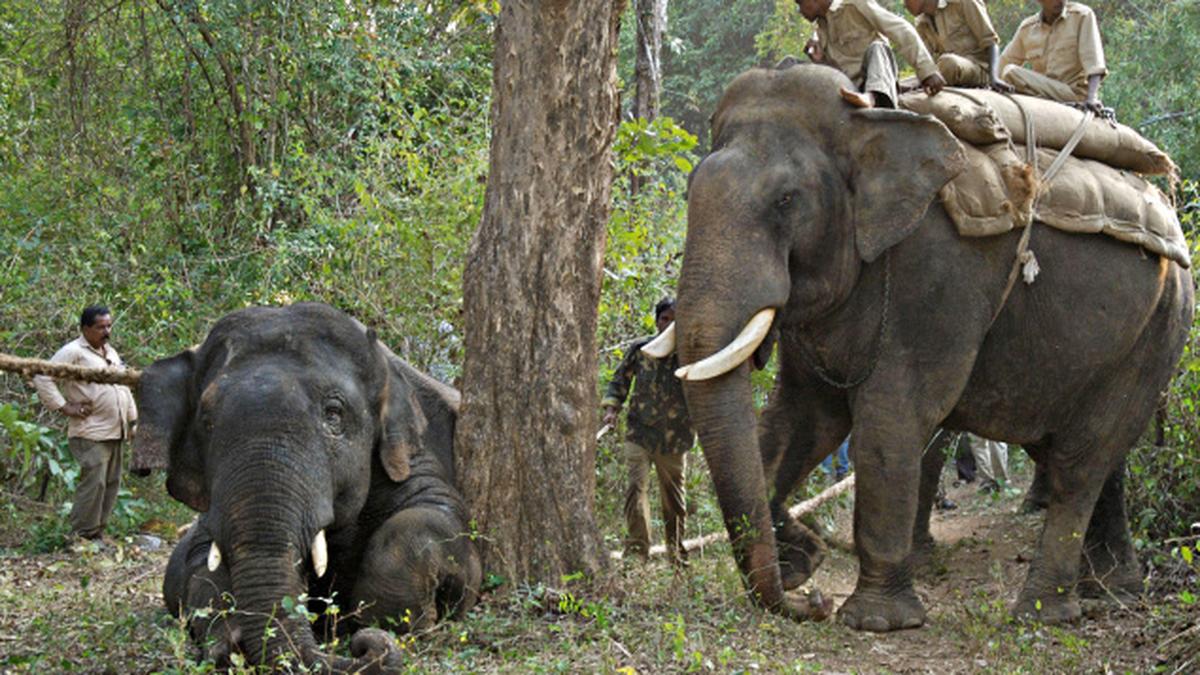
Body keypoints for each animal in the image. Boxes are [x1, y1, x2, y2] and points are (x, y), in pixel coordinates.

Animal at [138, 303, 482, 670]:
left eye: (333, 414)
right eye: (207, 421)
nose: (364, 648)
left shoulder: (417, 455)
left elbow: (435, 516)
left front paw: (396, 622)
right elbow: (194, 555)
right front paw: (228, 642)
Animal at [660, 63, 1193, 631]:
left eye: (786, 200)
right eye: (690, 192)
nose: (811, 603)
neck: (865, 122)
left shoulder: (940, 273)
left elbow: (891, 417)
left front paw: (874, 620)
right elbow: (801, 417)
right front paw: (806, 560)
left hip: (1160, 329)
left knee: (1083, 458)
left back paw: (1041, 614)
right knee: (1086, 452)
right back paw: (1113, 592)